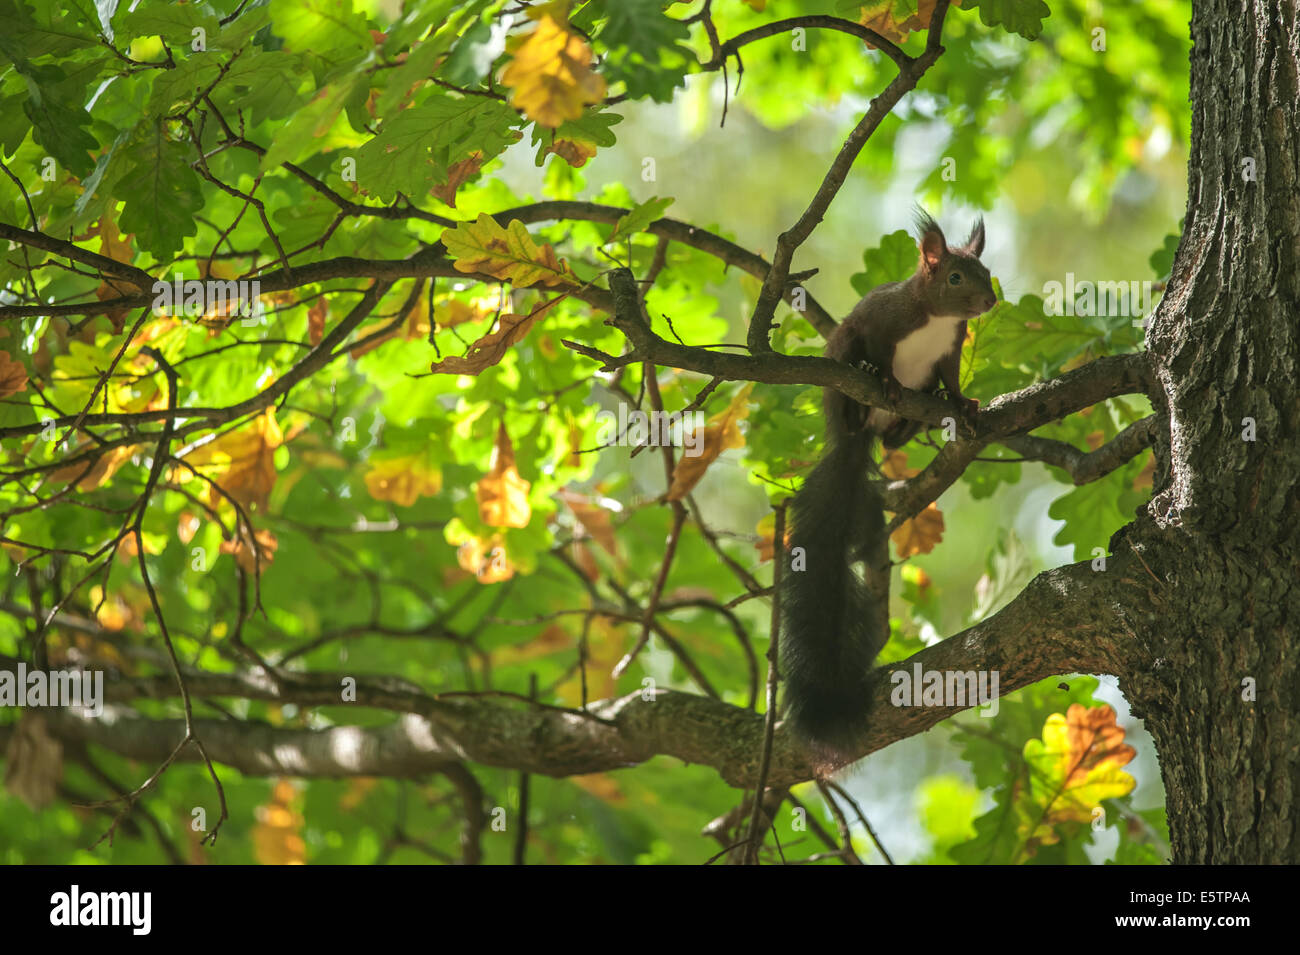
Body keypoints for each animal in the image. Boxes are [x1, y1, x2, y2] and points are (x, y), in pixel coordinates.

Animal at [780, 212, 998, 763]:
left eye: (987, 272)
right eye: (956, 278)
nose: (990, 302)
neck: (934, 315)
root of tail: (858, 440)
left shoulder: (950, 349)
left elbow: (951, 379)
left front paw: (964, 404)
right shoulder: (881, 323)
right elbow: (879, 351)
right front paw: (885, 378)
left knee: (910, 415)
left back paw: (906, 421)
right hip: (844, 359)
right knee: (852, 378)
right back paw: (863, 401)